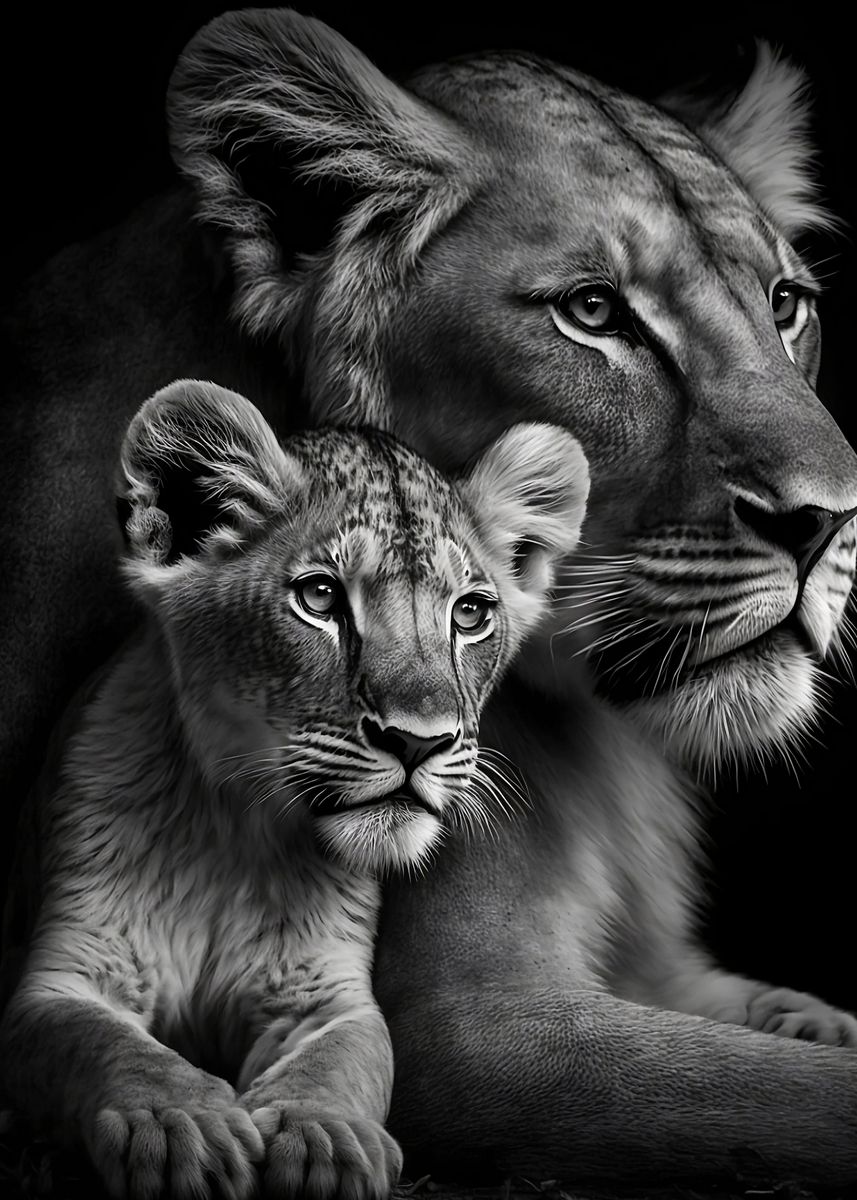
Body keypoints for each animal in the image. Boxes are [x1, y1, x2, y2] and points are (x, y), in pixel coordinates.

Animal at [0, 377, 588, 1199]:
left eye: (470, 613)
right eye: (319, 598)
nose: (420, 740)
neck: (232, 831)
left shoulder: (326, 995)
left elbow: (340, 1066)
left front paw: (322, 1141)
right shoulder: (64, 978)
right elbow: (111, 1048)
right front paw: (180, 1126)